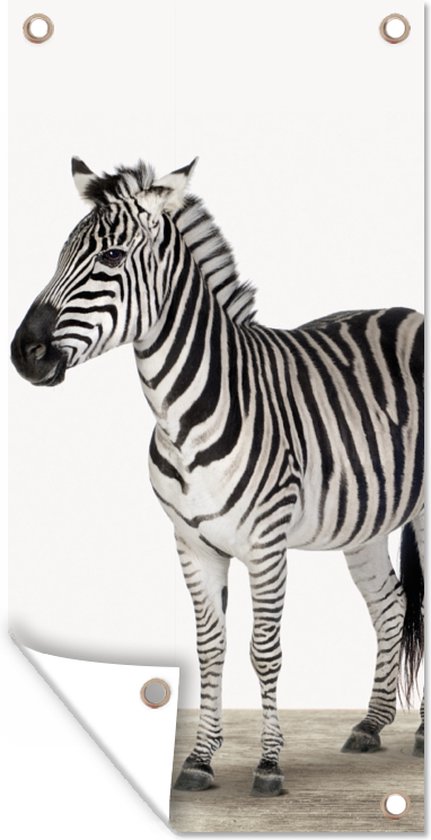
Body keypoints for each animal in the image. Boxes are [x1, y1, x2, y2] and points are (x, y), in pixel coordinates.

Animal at [11, 157, 424, 797]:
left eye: (111, 258)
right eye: (61, 255)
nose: (23, 353)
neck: (181, 415)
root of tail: (414, 311)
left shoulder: (267, 544)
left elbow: (264, 650)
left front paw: (269, 764)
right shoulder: (191, 544)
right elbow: (211, 649)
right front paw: (200, 759)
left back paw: (422, 733)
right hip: (365, 520)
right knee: (390, 605)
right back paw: (371, 724)